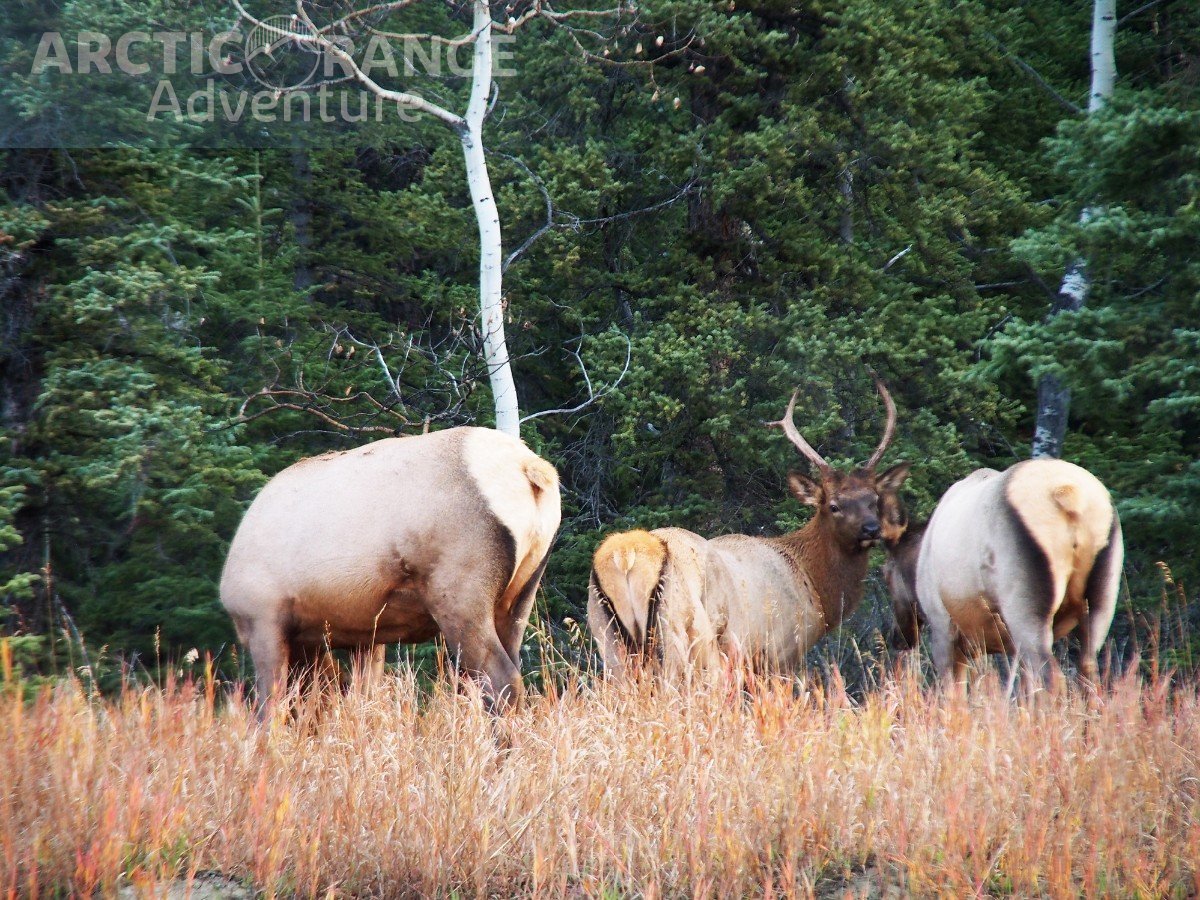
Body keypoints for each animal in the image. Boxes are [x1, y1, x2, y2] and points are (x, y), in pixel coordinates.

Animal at [220, 426, 560, 712]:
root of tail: (531, 470)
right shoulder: (362, 636)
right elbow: (362, 700)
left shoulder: (263, 618)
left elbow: (270, 709)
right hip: (520, 595)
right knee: (513, 668)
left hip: (459, 593)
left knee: (500, 680)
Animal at [587, 376, 911, 680]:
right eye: (833, 505)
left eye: (874, 500)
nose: (871, 529)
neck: (814, 588)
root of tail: (626, 556)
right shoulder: (780, 649)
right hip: (685, 635)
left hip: (608, 639)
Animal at [881, 459, 1123, 693]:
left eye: (886, 573)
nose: (897, 637)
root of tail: (1070, 498)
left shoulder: (942, 624)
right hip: (1102, 597)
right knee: (1088, 669)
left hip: (1024, 607)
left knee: (1052, 676)